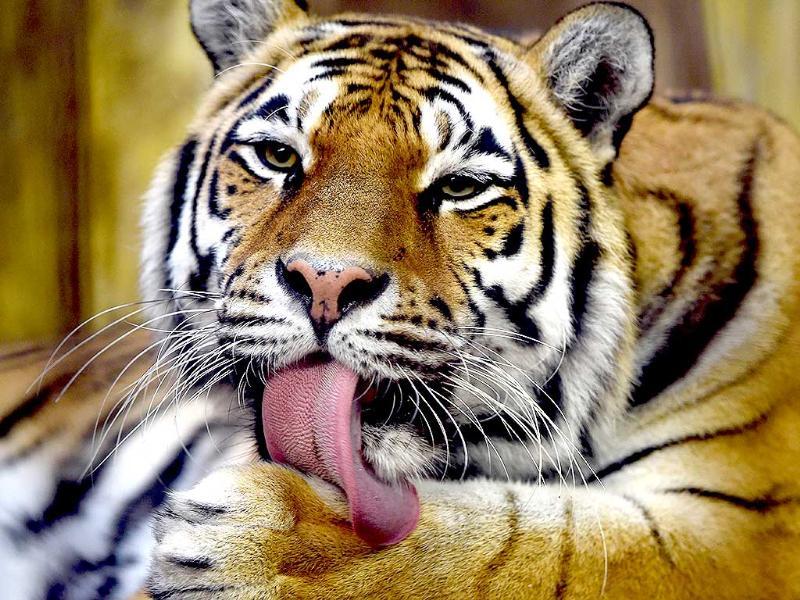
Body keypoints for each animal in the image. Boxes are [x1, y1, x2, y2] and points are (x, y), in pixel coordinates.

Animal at [2, 0, 800, 598]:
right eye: (279, 156)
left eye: (460, 187)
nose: (325, 283)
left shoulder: (748, 527)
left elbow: (531, 555)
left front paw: (250, 542)